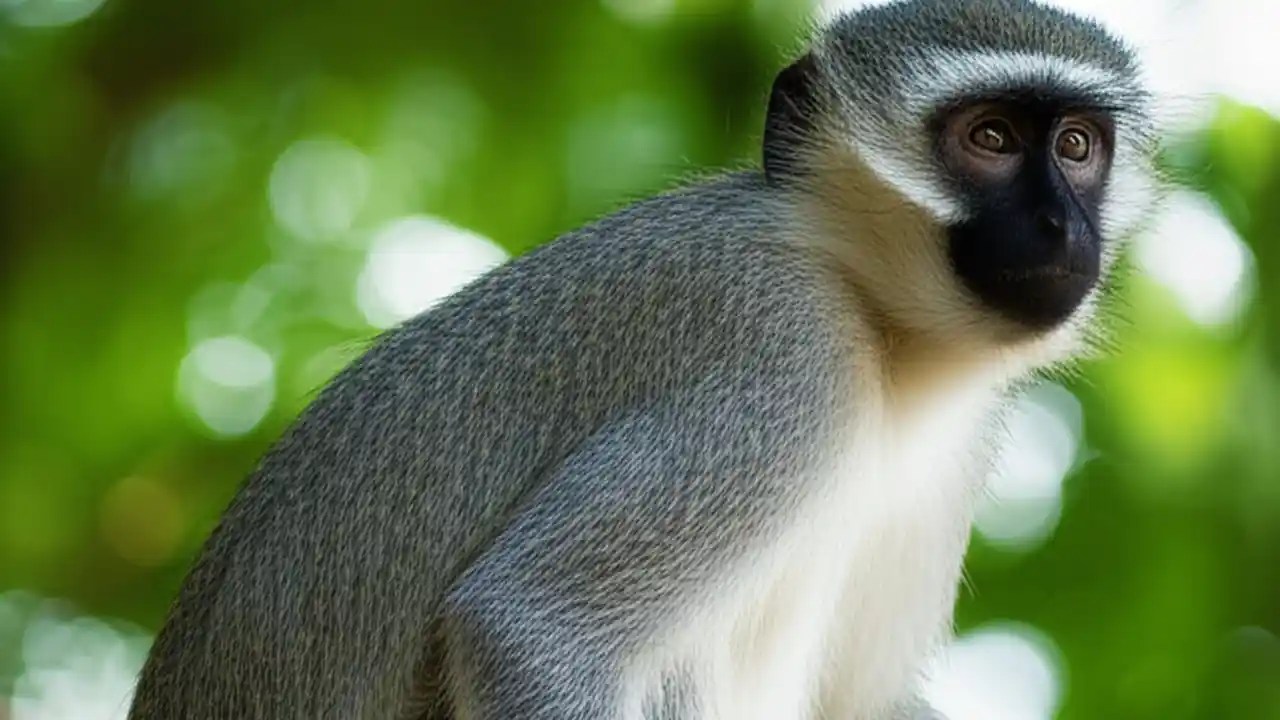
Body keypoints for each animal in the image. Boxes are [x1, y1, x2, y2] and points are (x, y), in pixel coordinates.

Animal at [128, 1, 1161, 718]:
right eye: (989, 137)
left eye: (1076, 146)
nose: (1060, 225)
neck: (874, 314)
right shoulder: (783, 350)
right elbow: (528, 628)